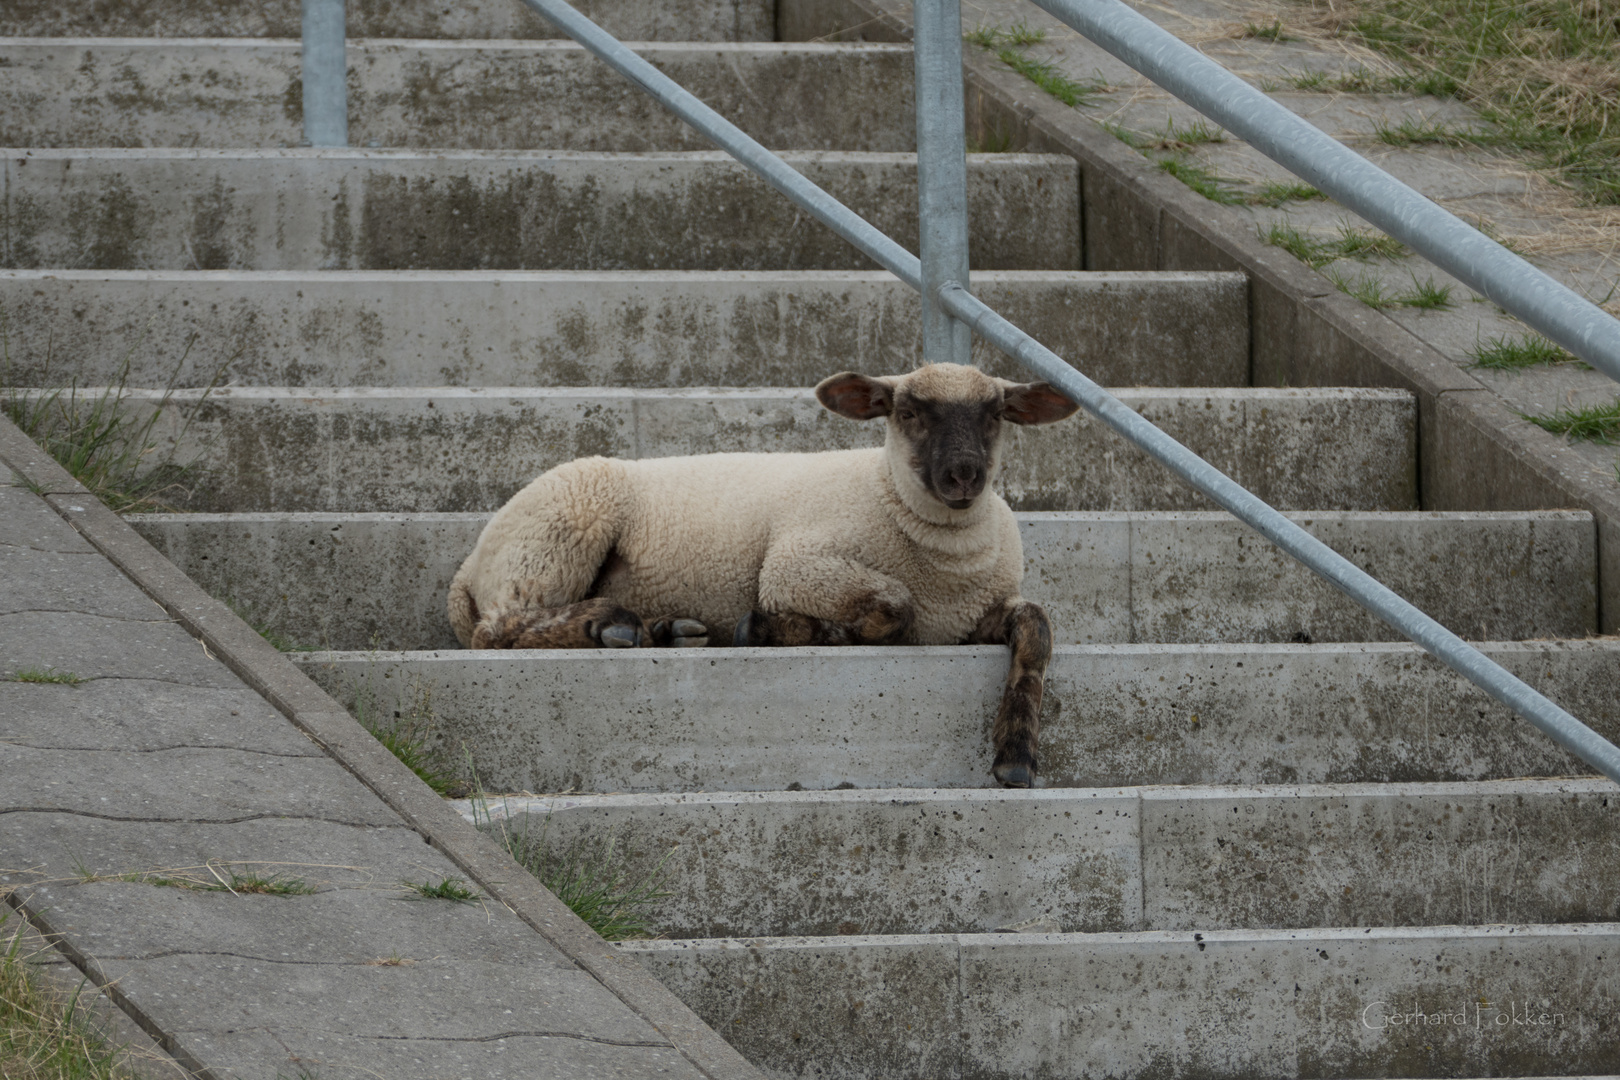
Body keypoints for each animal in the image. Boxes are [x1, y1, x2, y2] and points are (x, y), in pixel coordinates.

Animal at [447, 362, 1079, 787]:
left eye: (996, 414)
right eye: (907, 413)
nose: (963, 475)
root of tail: (469, 568)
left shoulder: (974, 616)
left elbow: (1038, 629)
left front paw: (1016, 757)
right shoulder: (795, 566)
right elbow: (893, 605)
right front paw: (790, 630)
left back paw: (665, 630)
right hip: (561, 530)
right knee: (497, 629)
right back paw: (609, 625)